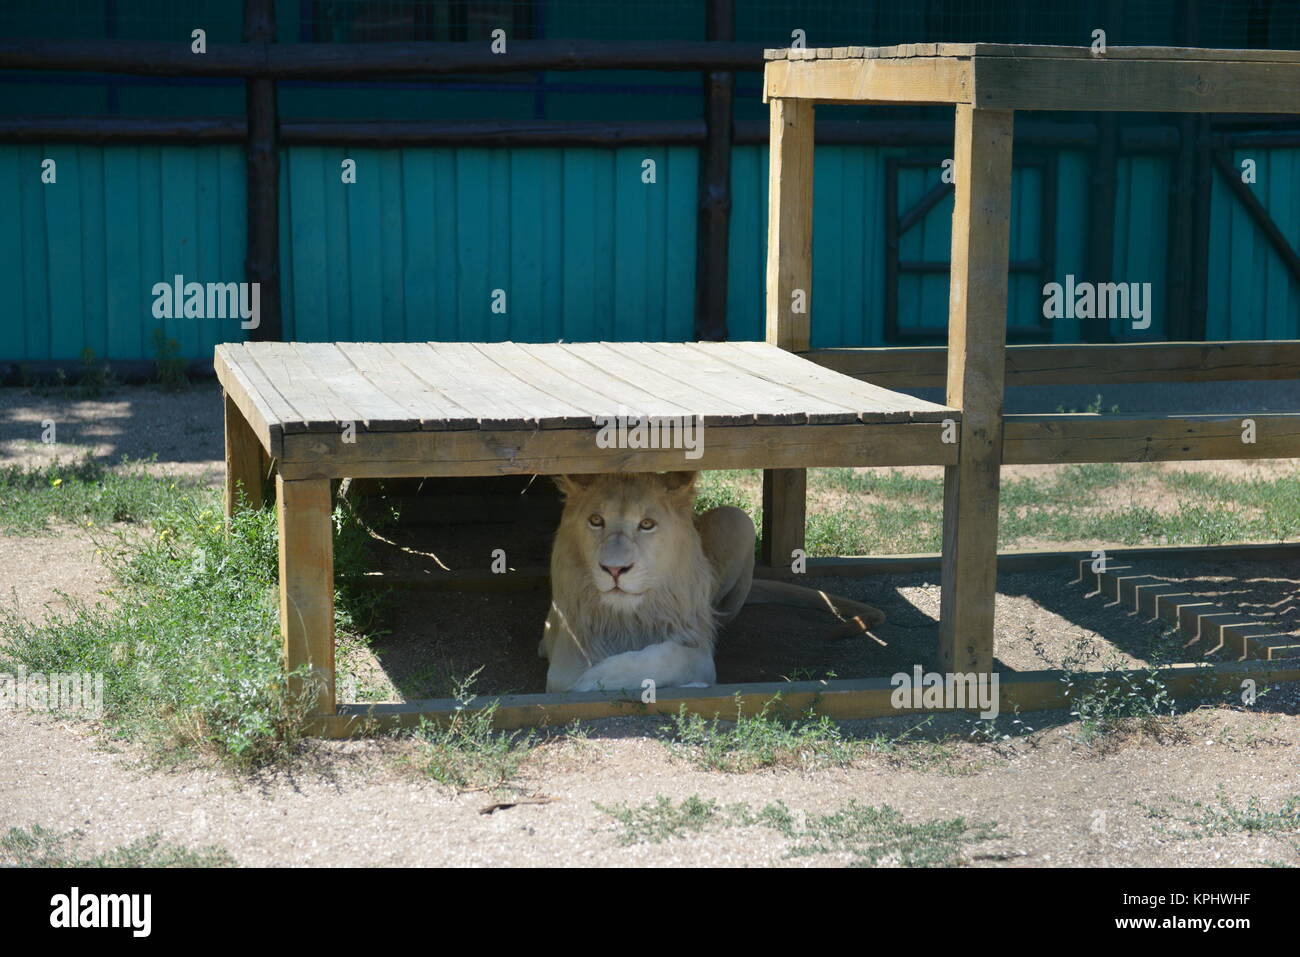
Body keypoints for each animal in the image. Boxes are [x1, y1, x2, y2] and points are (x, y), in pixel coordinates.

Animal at [540, 471, 886, 693]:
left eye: (647, 524)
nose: (614, 569)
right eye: (596, 520)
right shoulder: (565, 659)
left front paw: (595, 678)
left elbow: (668, 657)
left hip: (738, 520)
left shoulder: (700, 651)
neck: (631, 616)